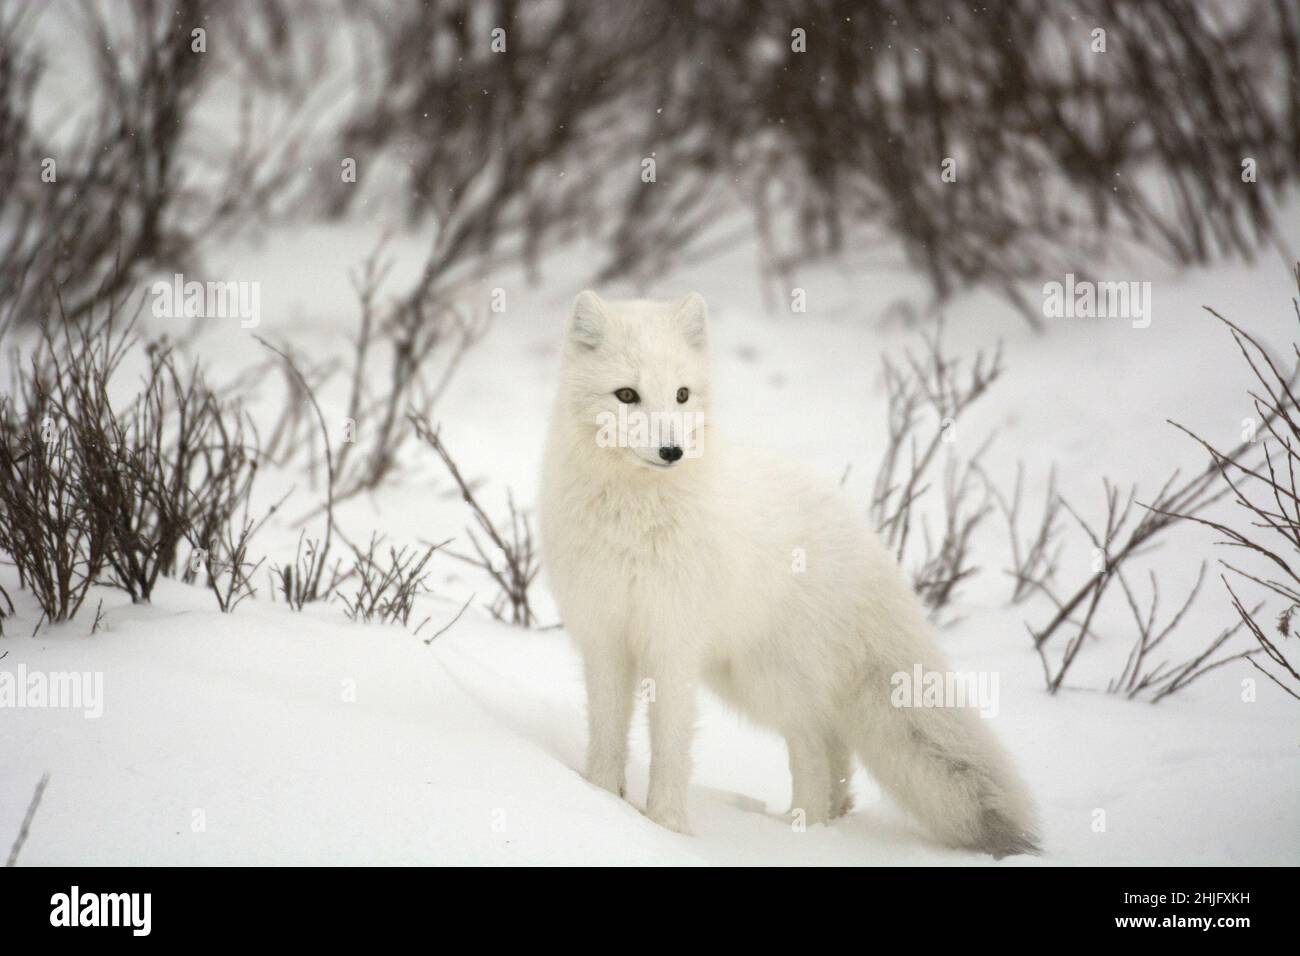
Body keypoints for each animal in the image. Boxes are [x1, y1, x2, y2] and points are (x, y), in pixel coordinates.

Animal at [538, 290, 1040, 856]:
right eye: (627, 394)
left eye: (682, 394)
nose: (673, 451)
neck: (633, 520)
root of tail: (865, 540)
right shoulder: (603, 639)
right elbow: (606, 735)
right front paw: (601, 800)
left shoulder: (672, 646)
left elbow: (671, 747)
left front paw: (667, 825)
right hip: (746, 676)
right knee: (836, 747)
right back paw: (826, 821)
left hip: (772, 680)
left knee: (816, 748)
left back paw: (803, 828)